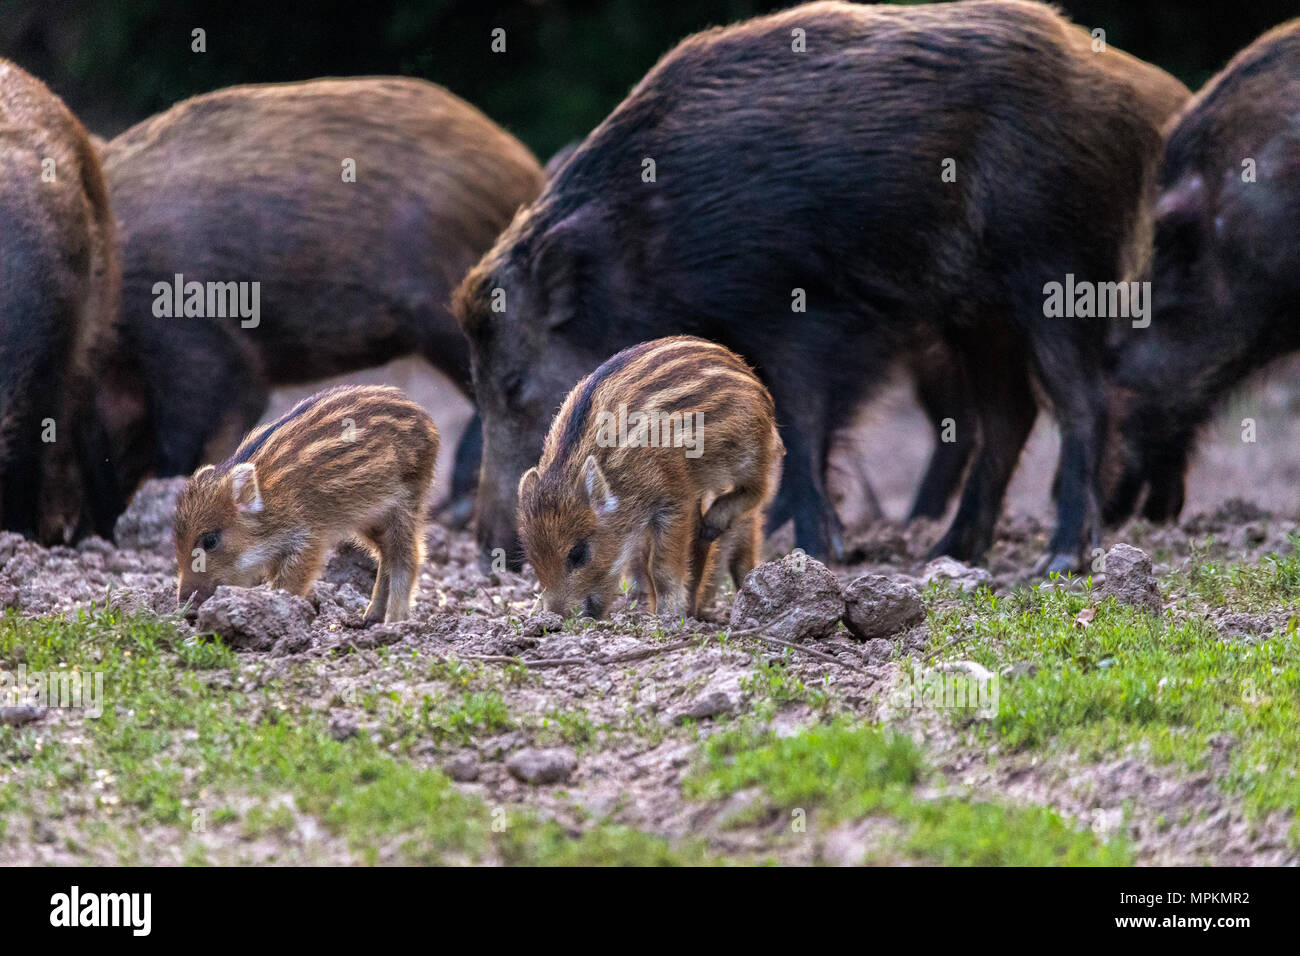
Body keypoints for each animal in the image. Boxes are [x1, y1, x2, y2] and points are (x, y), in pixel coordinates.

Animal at [173, 384, 439, 625]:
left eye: (210, 540)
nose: (186, 608)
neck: (271, 502)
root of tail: (425, 418)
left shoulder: (308, 537)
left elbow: (290, 582)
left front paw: (276, 605)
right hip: (372, 518)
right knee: (386, 555)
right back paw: (368, 618)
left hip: (406, 503)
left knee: (407, 556)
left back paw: (394, 623)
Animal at [455, 0, 1190, 574]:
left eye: (514, 386)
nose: (496, 552)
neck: (648, 241)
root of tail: (1148, 99)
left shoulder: (798, 314)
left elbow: (801, 425)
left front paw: (816, 551)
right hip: (976, 315)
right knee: (1010, 416)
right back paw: (947, 553)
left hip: (1058, 271)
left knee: (1084, 401)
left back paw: (1060, 560)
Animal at [518, 336, 782, 619]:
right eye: (533, 559)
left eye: (577, 554)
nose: (556, 616)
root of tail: (743, 368)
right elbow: (646, 564)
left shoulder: (674, 497)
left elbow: (660, 566)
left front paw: (668, 615)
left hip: (751, 450)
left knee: (759, 489)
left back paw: (715, 525)